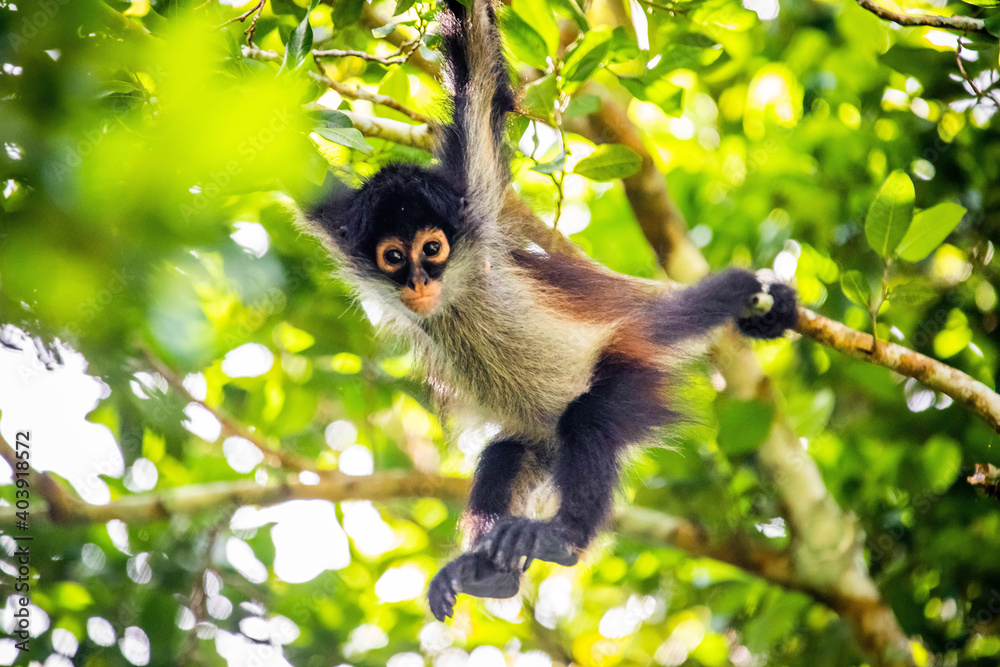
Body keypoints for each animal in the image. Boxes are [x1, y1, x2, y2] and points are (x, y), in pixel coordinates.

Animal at [302, 0, 798, 621]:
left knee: (587, 418)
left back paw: (562, 539)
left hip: (626, 372)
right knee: (506, 452)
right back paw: (491, 574)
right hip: (541, 439)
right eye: (393, 257)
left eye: (432, 249)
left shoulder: (474, 201)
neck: (455, 293)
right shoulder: (343, 222)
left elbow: (478, 67)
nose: (417, 281)